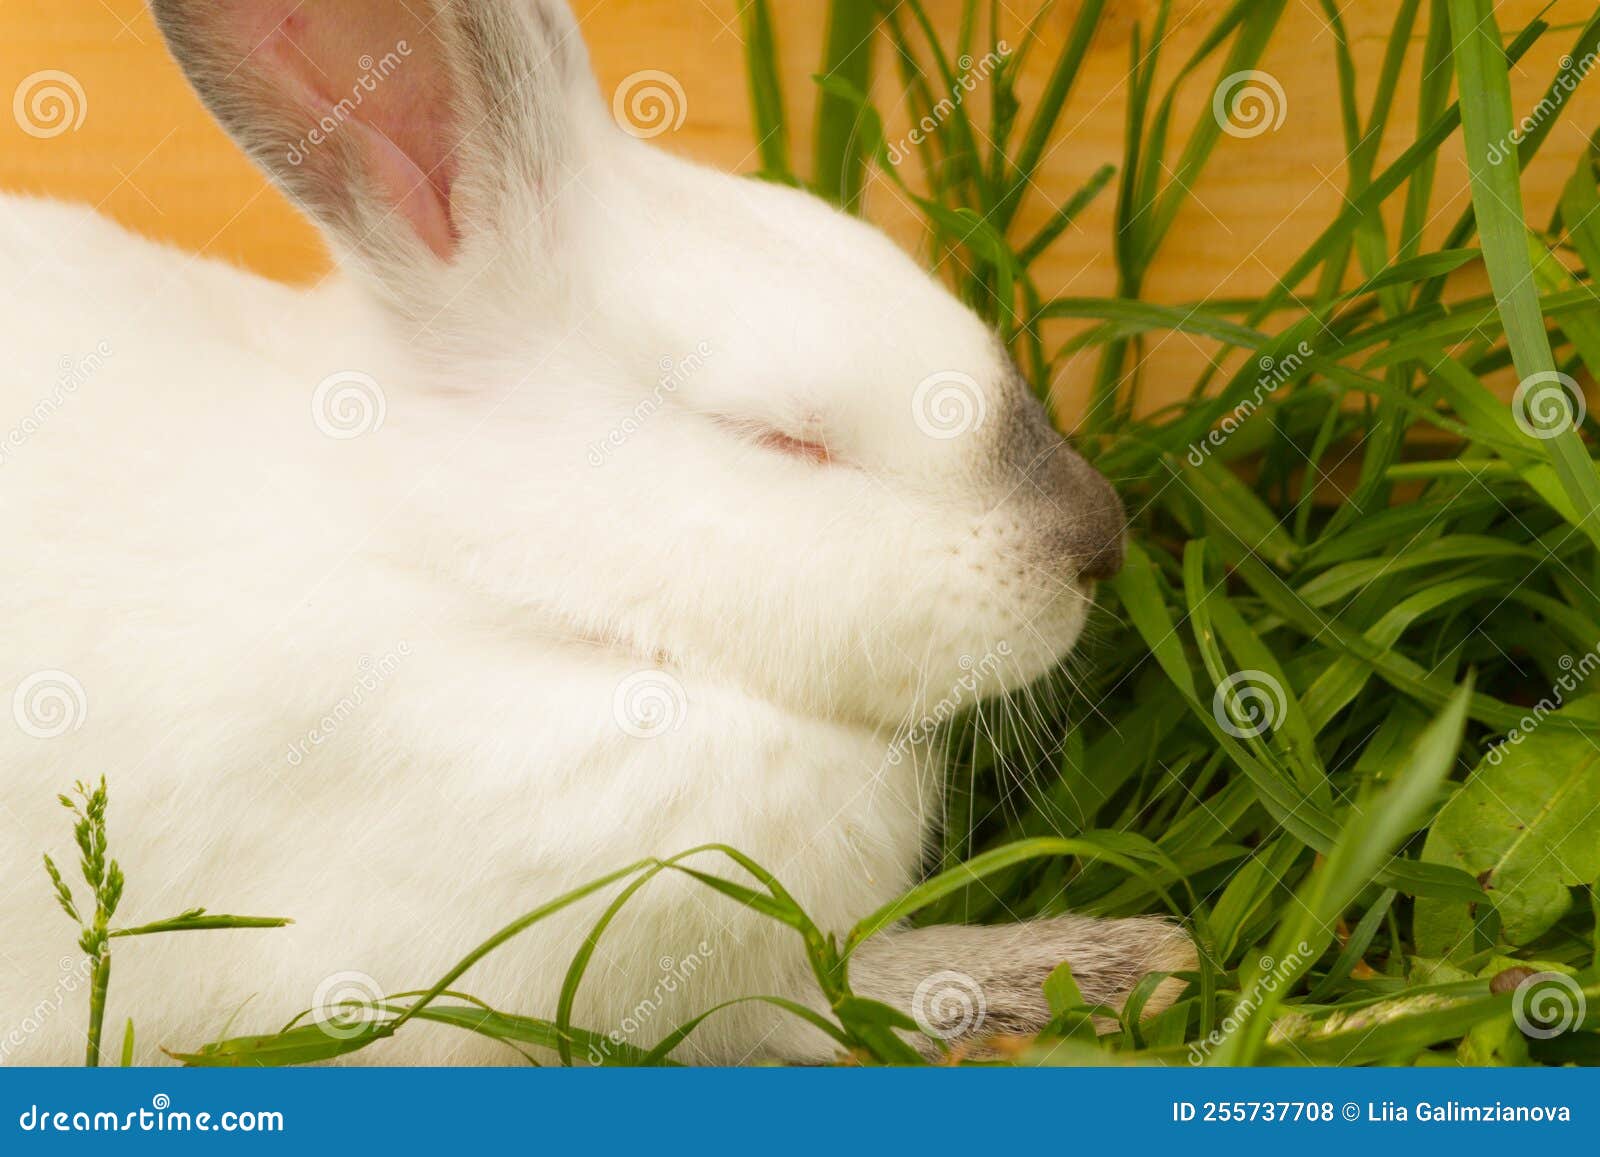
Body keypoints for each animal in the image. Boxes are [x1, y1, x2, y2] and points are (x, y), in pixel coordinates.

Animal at [0, 0, 1195, 1066]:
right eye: (782, 439)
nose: (1096, 537)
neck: (479, 574)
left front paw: (1130, 961)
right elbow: (846, 998)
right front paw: (1121, 964)